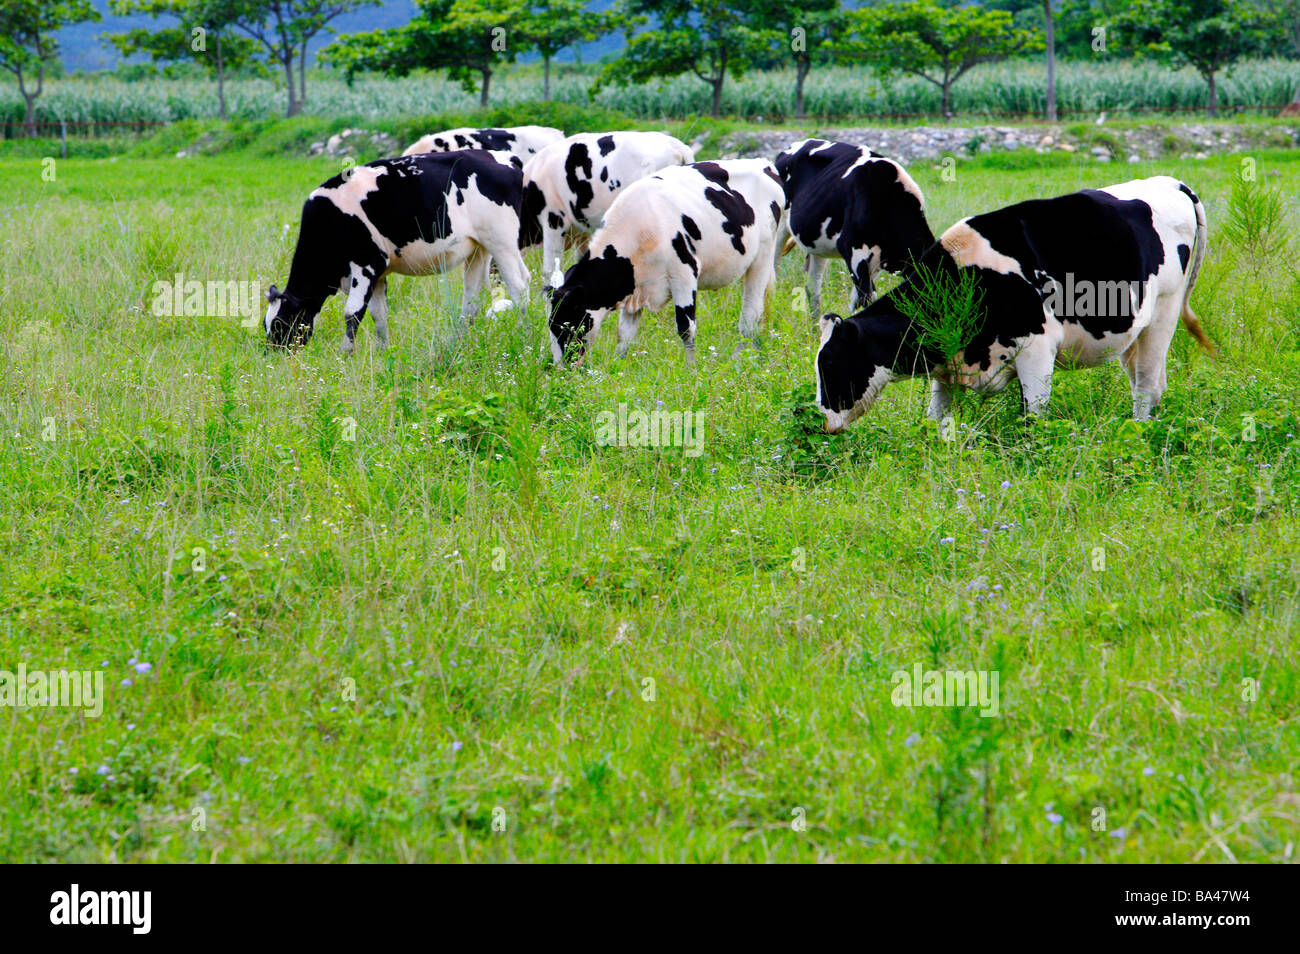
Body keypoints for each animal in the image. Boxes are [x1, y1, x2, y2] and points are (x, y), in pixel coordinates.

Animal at [264, 150, 531, 353]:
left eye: (279, 323)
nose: (272, 353)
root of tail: (502, 157)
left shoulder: (366, 264)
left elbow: (352, 313)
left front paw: (345, 354)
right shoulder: (379, 273)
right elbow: (379, 314)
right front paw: (383, 351)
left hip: (501, 241)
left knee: (519, 288)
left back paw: (523, 335)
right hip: (479, 249)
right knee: (473, 302)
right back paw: (458, 342)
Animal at [547, 158, 787, 365]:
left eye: (566, 325)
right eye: (551, 325)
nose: (562, 369)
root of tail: (763, 164)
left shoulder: (684, 274)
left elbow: (686, 328)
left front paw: (692, 370)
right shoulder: (636, 288)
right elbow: (624, 334)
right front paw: (617, 367)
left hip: (762, 256)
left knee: (751, 315)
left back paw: (740, 360)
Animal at [775, 138, 934, 316]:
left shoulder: (875, 262)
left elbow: (857, 301)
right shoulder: (852, 250)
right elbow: (867, 297)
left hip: (816, 243)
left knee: (812, 287)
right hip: (779, 231)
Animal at [815, 176, 1212, 431]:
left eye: (831, 363)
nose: (822, 420)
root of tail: (1169, 182)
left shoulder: (1037, 351)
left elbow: (1032, 419)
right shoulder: (948, 366)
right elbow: (936, 422)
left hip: (1164, 314)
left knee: (1145, 386)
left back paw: (1139, 432)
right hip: (1132, 331)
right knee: (1152, 384)